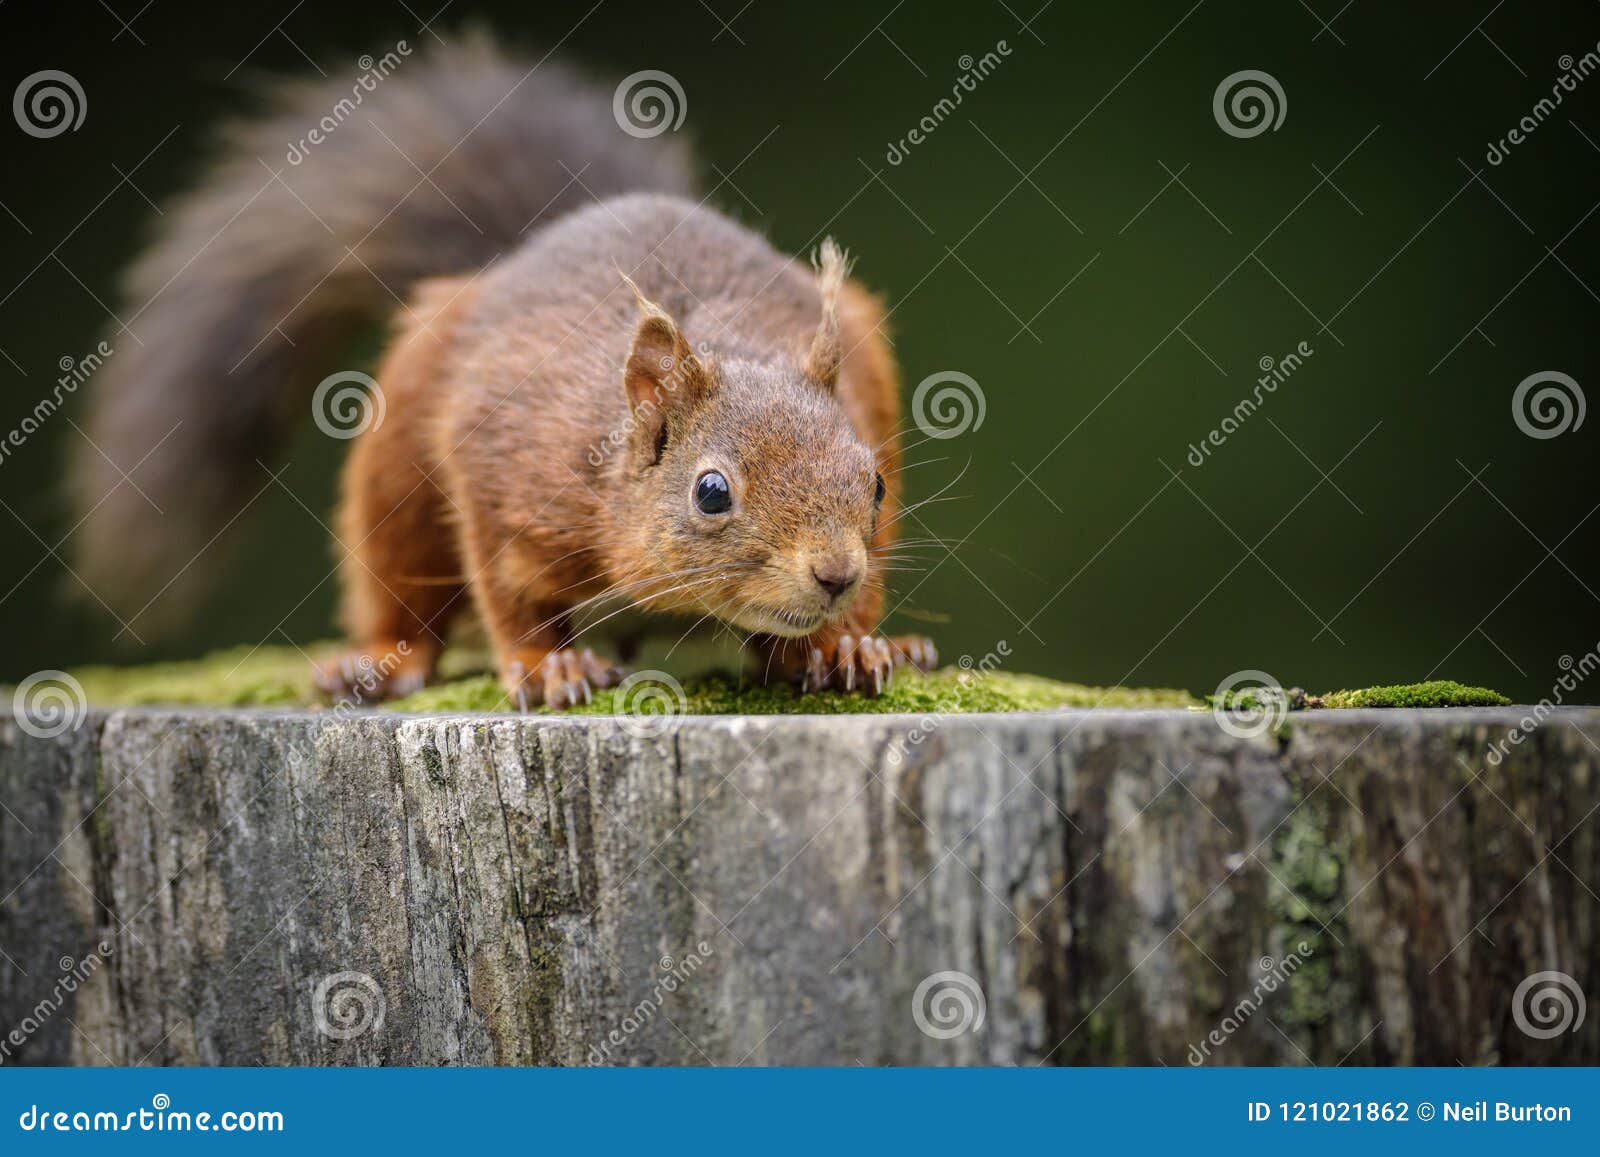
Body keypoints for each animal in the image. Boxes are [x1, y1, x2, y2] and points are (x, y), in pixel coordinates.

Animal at [70, 34, 936, 708]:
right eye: (712, 492)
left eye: (875, 483)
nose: (834, 572)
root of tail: (516, 255)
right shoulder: (501, 469)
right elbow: (510, 593)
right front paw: (546, 667)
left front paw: (844, 644)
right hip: (397, 464)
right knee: (403, 591)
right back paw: (380, 661)